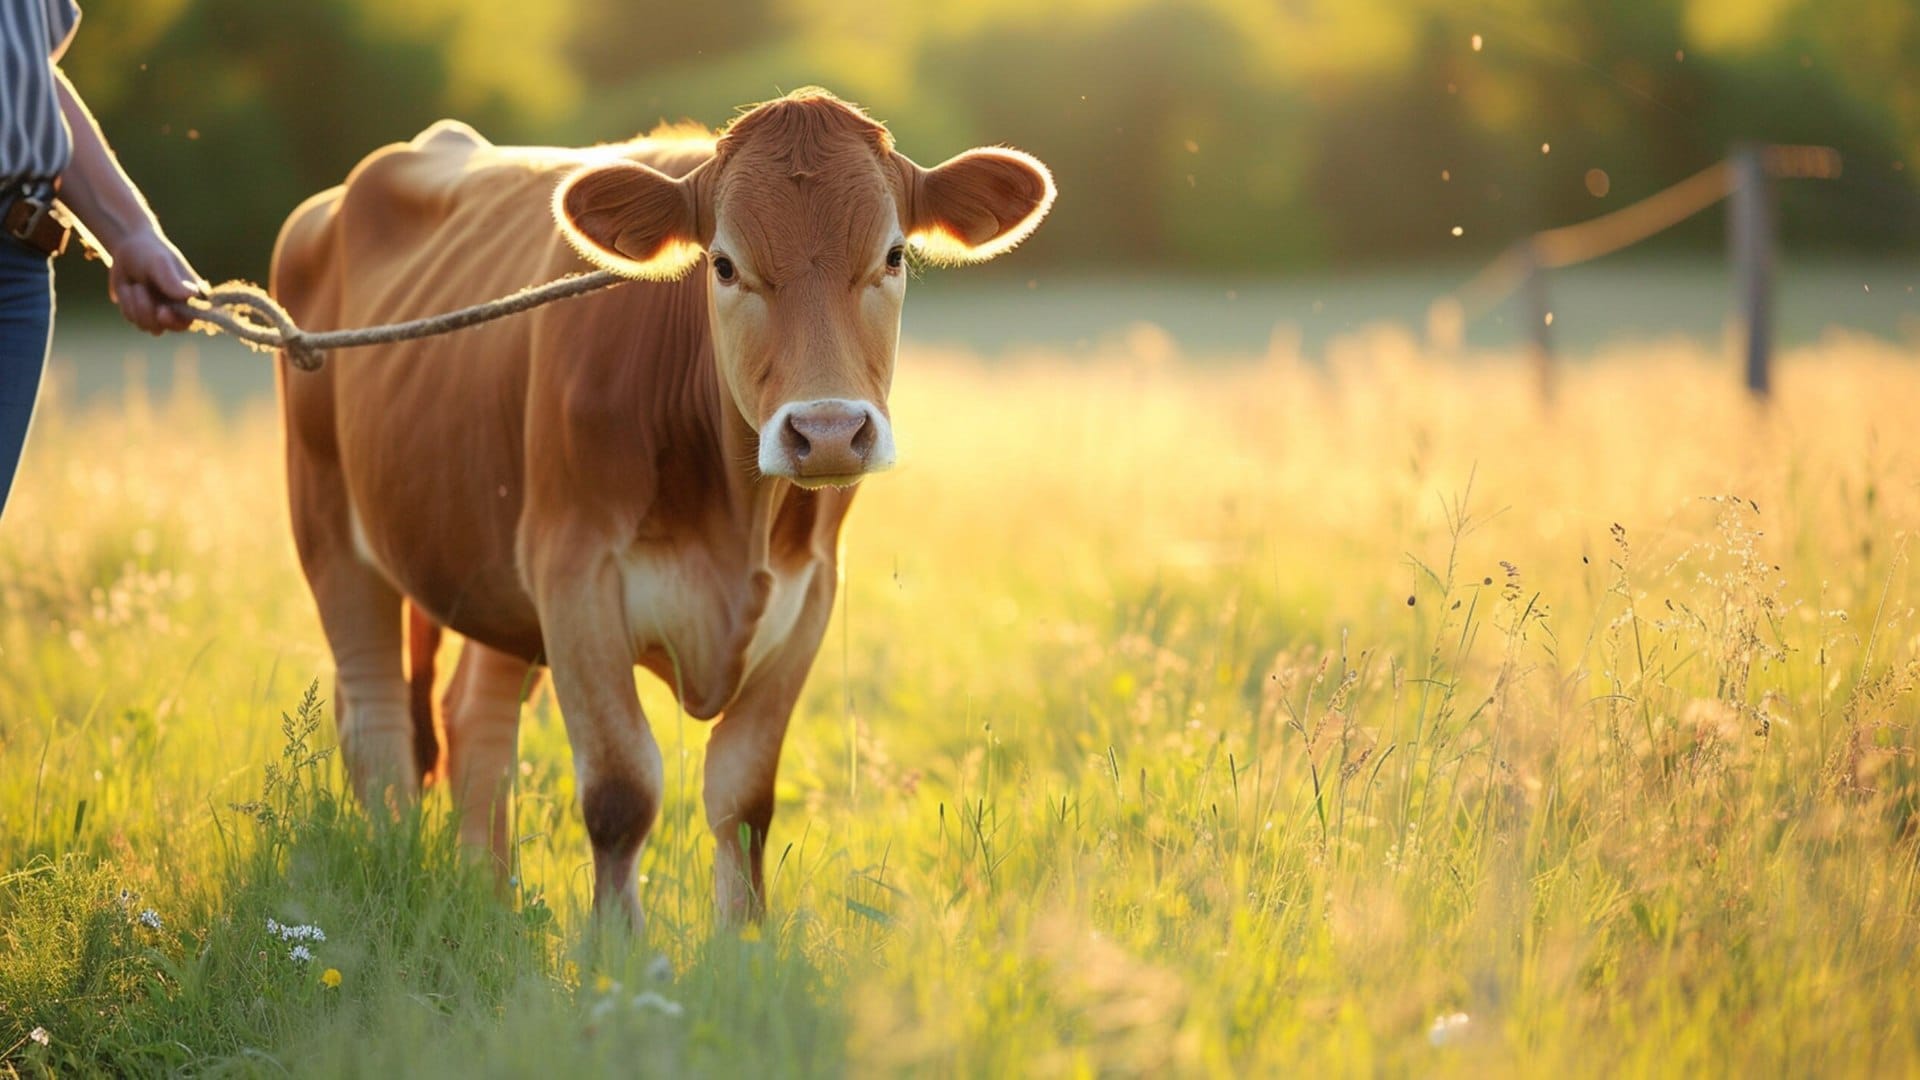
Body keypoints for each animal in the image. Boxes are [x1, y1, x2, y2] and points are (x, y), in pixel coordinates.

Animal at [269, 88, 1054, 928]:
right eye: (724, 264)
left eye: (894, 256)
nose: (828, 432)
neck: (737, 522)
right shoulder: (573, 576)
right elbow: (622, 793)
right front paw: (617, 948)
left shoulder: (810, 590)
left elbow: (743, 797)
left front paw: (742, 943)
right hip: (329, 527)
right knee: (376, 718)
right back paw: (394, 869)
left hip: (493, 569)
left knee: (473, 715)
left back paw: (488, 897)